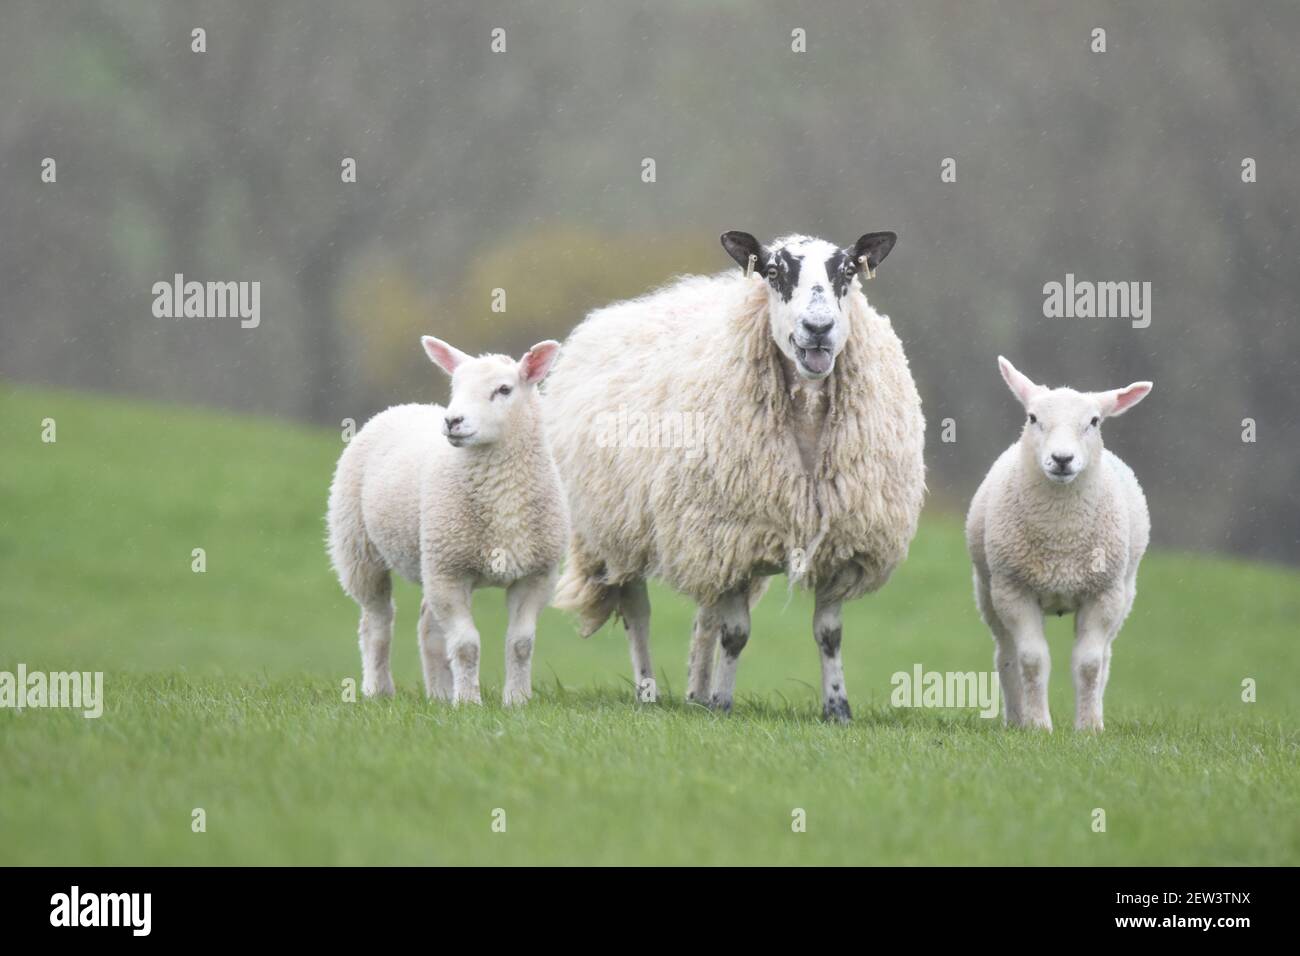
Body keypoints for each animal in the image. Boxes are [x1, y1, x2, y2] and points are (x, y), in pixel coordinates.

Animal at [326, 336, 568, 706]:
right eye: (455, 386)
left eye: (504, 389)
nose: (453, 420)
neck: (503, 502)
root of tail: (400, 407)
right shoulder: (450, 572)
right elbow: (467, 645)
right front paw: (469, 702)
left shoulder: (537, 574)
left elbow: (521, 644)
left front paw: (516, 700)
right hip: (359, 548)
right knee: (376, 623)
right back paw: (378, 690)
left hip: (430, 560)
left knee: (428, 626)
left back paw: (439, 694)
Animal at [543, 231, 926, 721]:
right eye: (773, 271)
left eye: (847, 271)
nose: (818, 327)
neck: (806, 416)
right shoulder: (732, 537)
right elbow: (736, 634)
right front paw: (723, 704)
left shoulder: (837, 545)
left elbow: (828, 634)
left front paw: (837, 709)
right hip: (618, 530)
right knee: (638, 611)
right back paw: (650, 693)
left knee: (704, 618)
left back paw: (695, 693)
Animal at [965, 356, 1153, 731]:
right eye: (1033, 418)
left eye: (1094, 422)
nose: (1062, 459)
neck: (1062, 537)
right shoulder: (1013, 589)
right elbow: (1031, 659)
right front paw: (1038, 725)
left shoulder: (1104, 593)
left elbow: (1090, 664)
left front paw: (1089, 728)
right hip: (988, 590)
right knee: (1006, 655)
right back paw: (1016, 718)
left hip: (1124, 593)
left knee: (1105, 656)